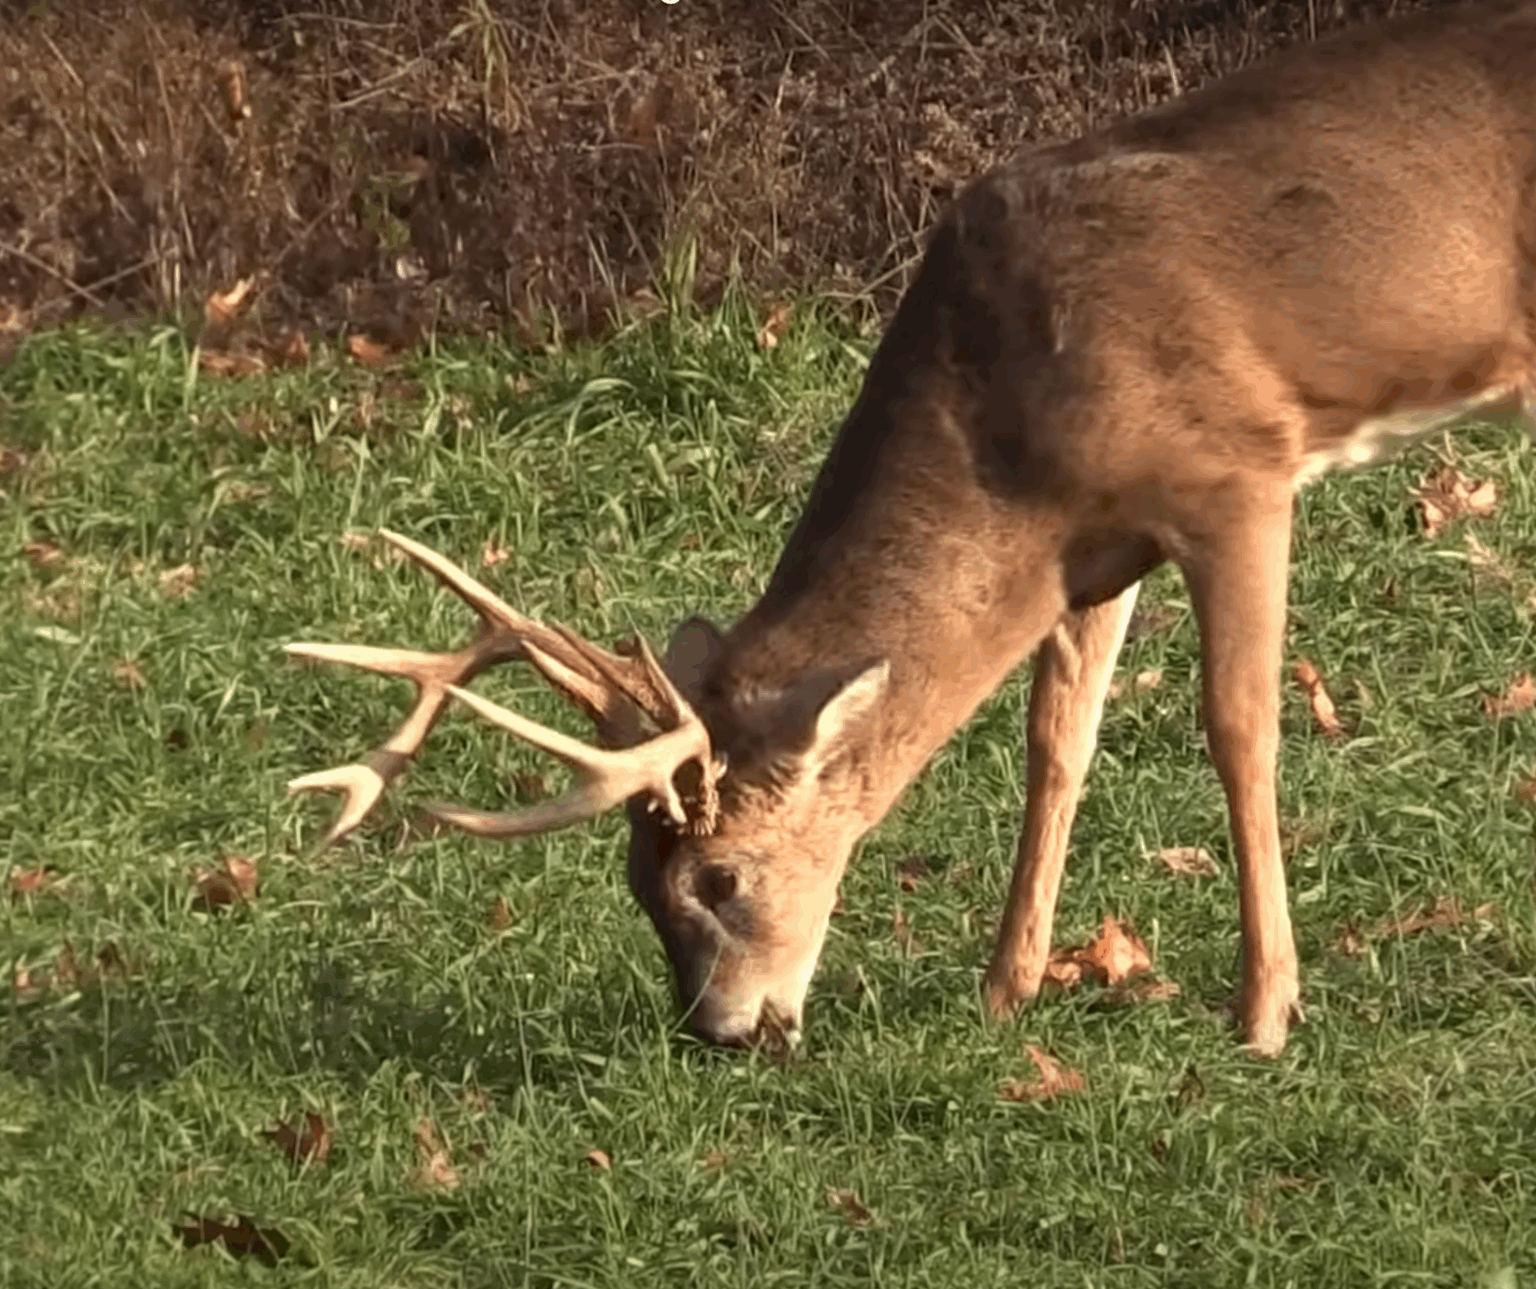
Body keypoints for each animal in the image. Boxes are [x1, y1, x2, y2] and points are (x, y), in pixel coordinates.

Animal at [284, 0, 1536, 1058]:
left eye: (719, 877)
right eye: (637, 879)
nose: (724, 1030)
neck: (1005, 419)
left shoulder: (1236, 470)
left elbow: (1239, 729)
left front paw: (1265, 1012)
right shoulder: (1090, 549)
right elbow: (1057, 740)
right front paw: (1005, 987)